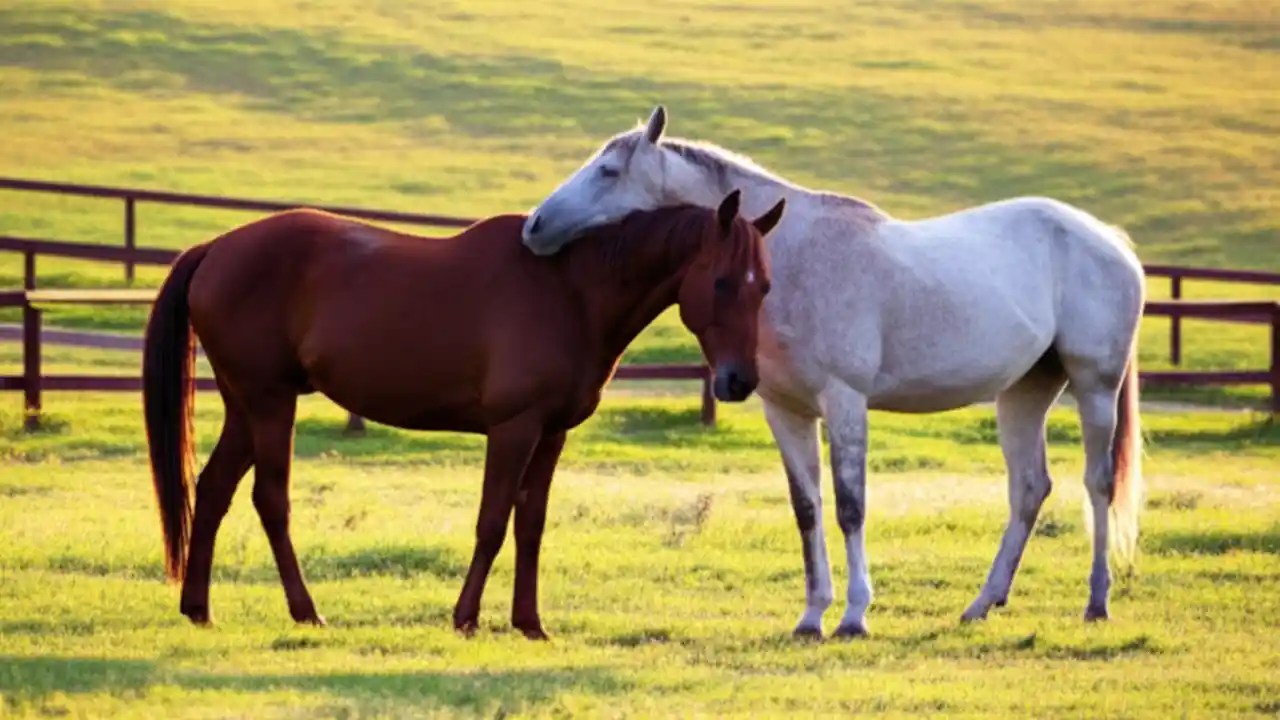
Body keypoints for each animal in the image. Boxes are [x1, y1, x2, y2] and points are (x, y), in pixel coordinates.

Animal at [142, 190, 784, 638]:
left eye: (765, 288)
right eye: (722, 282)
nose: (738, 381)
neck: (571, 292)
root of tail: (215, 249)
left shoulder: (550, 435)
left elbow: (530, 525)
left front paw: (530, 623)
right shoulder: (514, 430)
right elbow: (493, 522)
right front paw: (467, 617)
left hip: (246, 406)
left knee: (214, 488)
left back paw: (197, 608)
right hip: (271, 401)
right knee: (270, 501)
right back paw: (306, 612)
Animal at [520, 106, 1146, 638]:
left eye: (607, 171)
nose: (534, 226)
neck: (791, 262)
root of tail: (1109, 240)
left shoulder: (844, 403)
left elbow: (849, 505)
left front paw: (853, 616)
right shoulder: (785, 410)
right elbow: (807, 508)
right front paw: (810, 617)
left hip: (1095, 385)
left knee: (1097, 483)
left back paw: (1096, 602)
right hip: (1024, 392)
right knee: (1029, 488)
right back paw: (981, 604)